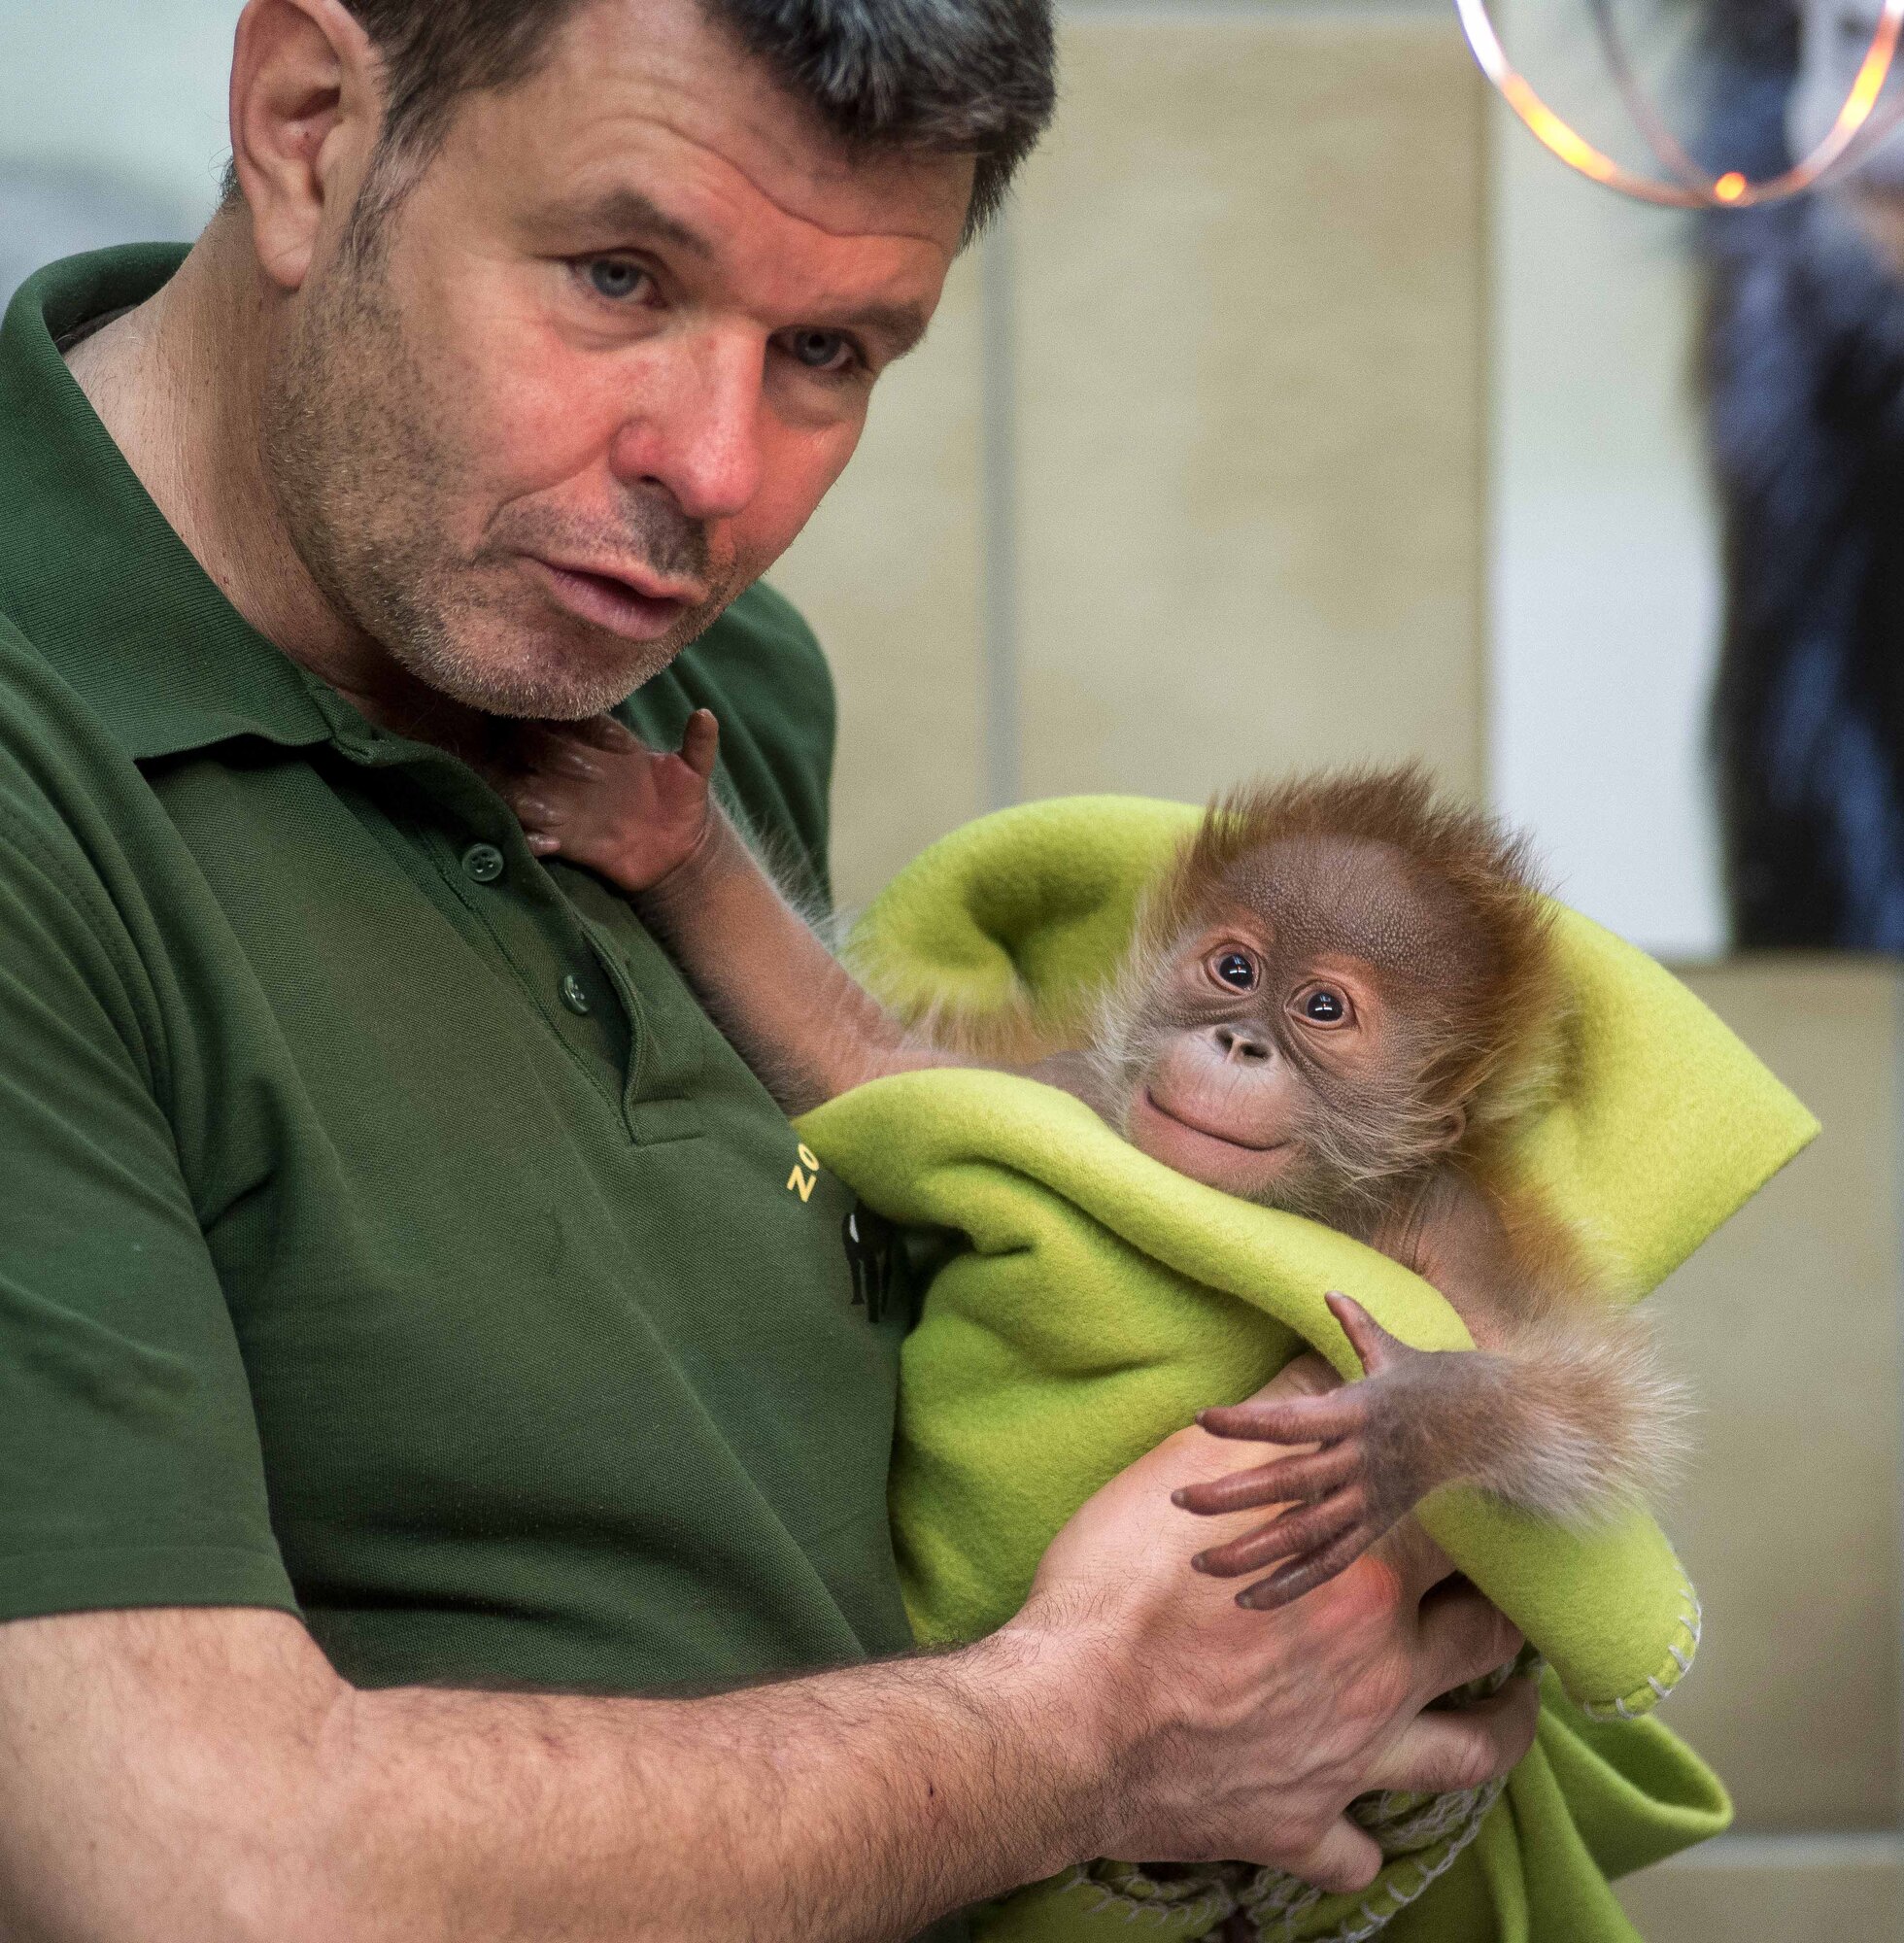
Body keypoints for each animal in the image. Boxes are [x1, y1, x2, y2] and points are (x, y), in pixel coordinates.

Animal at [494, 710, 1687, 1611]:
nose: (1238, 1042)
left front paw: (1408, 1422)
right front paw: (662, 827)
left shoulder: (1463, 1225)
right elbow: (861, 1055)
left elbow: (1591, 1405)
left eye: (1321, 1009)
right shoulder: (1074, 1096)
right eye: (1234, 968)